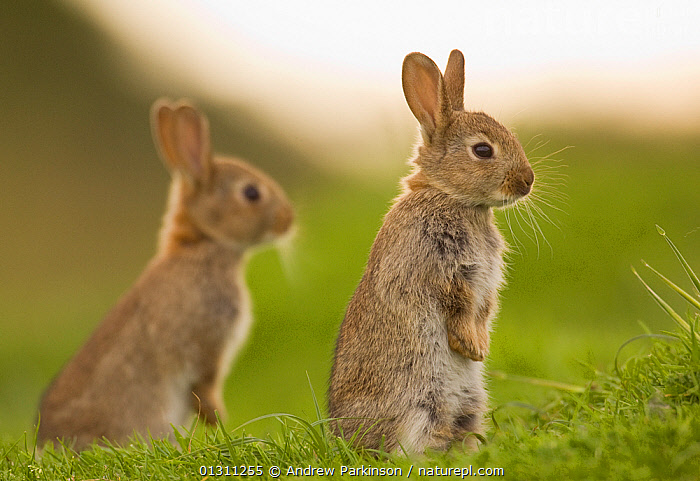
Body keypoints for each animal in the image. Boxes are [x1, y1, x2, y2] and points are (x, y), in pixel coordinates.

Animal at [37, 98, 294, 451]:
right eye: (251, 193)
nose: (289, 219)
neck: (202, 245)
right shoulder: (205, 346)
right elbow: (204, 388)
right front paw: (219, 422)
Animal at [328, 50, 534, 454]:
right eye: (482, 150)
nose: (527, 182)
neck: (450, 196)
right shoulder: (441, 271)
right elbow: (459, 308)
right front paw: (472, 348)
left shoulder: (485, 285)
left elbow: (484, 310)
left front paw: (480, 348)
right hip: (420, 405)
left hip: (468, 405)